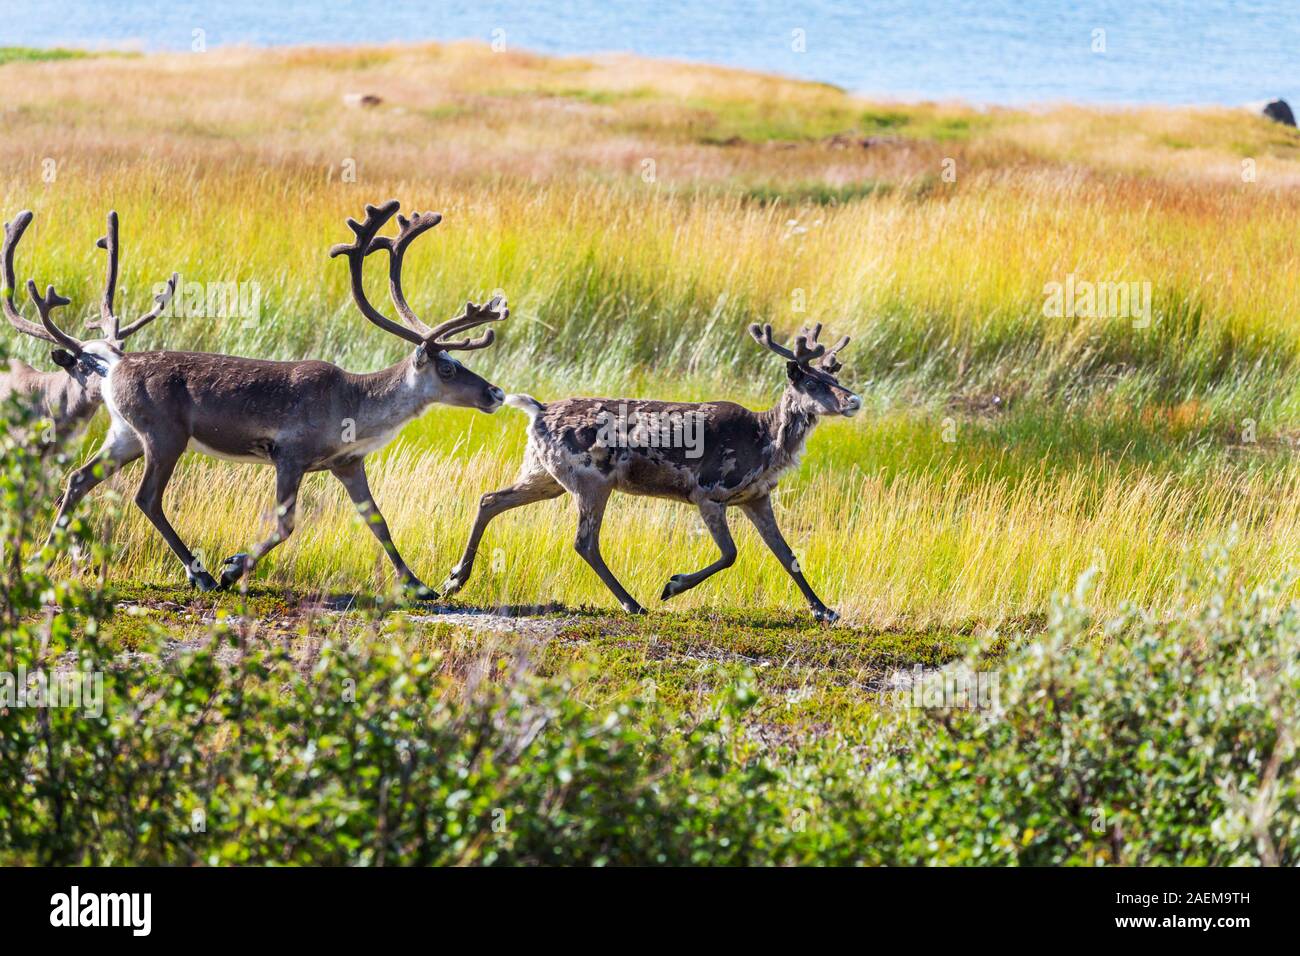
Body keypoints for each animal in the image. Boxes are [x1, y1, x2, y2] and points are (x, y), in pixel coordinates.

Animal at [48, 199, 508, 595]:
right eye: (447, 368)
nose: (495, 392)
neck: (355, 407)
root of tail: (114, 367)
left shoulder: (347, 463)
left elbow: (378, 521)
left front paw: (418, 584)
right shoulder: (289, 454)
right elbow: (285, 525)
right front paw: (233, 567)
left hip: (124, 434)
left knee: (79, 478)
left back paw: (47, 553)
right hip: (164, 436)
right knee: (146, 497)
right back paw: (201, 575)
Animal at [441, 322, 860, 622]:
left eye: (836, 378)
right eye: (812, 381)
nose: (854, 400)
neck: (765, 441)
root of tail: (537, 410)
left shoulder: (756, 495)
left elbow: (787, 554)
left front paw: (824, 610)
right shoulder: (708, 490)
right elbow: (731, 553)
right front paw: (673, 585)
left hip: (543, 474)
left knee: (490, 499)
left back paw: (454, 579)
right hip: (590, 480)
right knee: (584, 542)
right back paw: (634, 603)